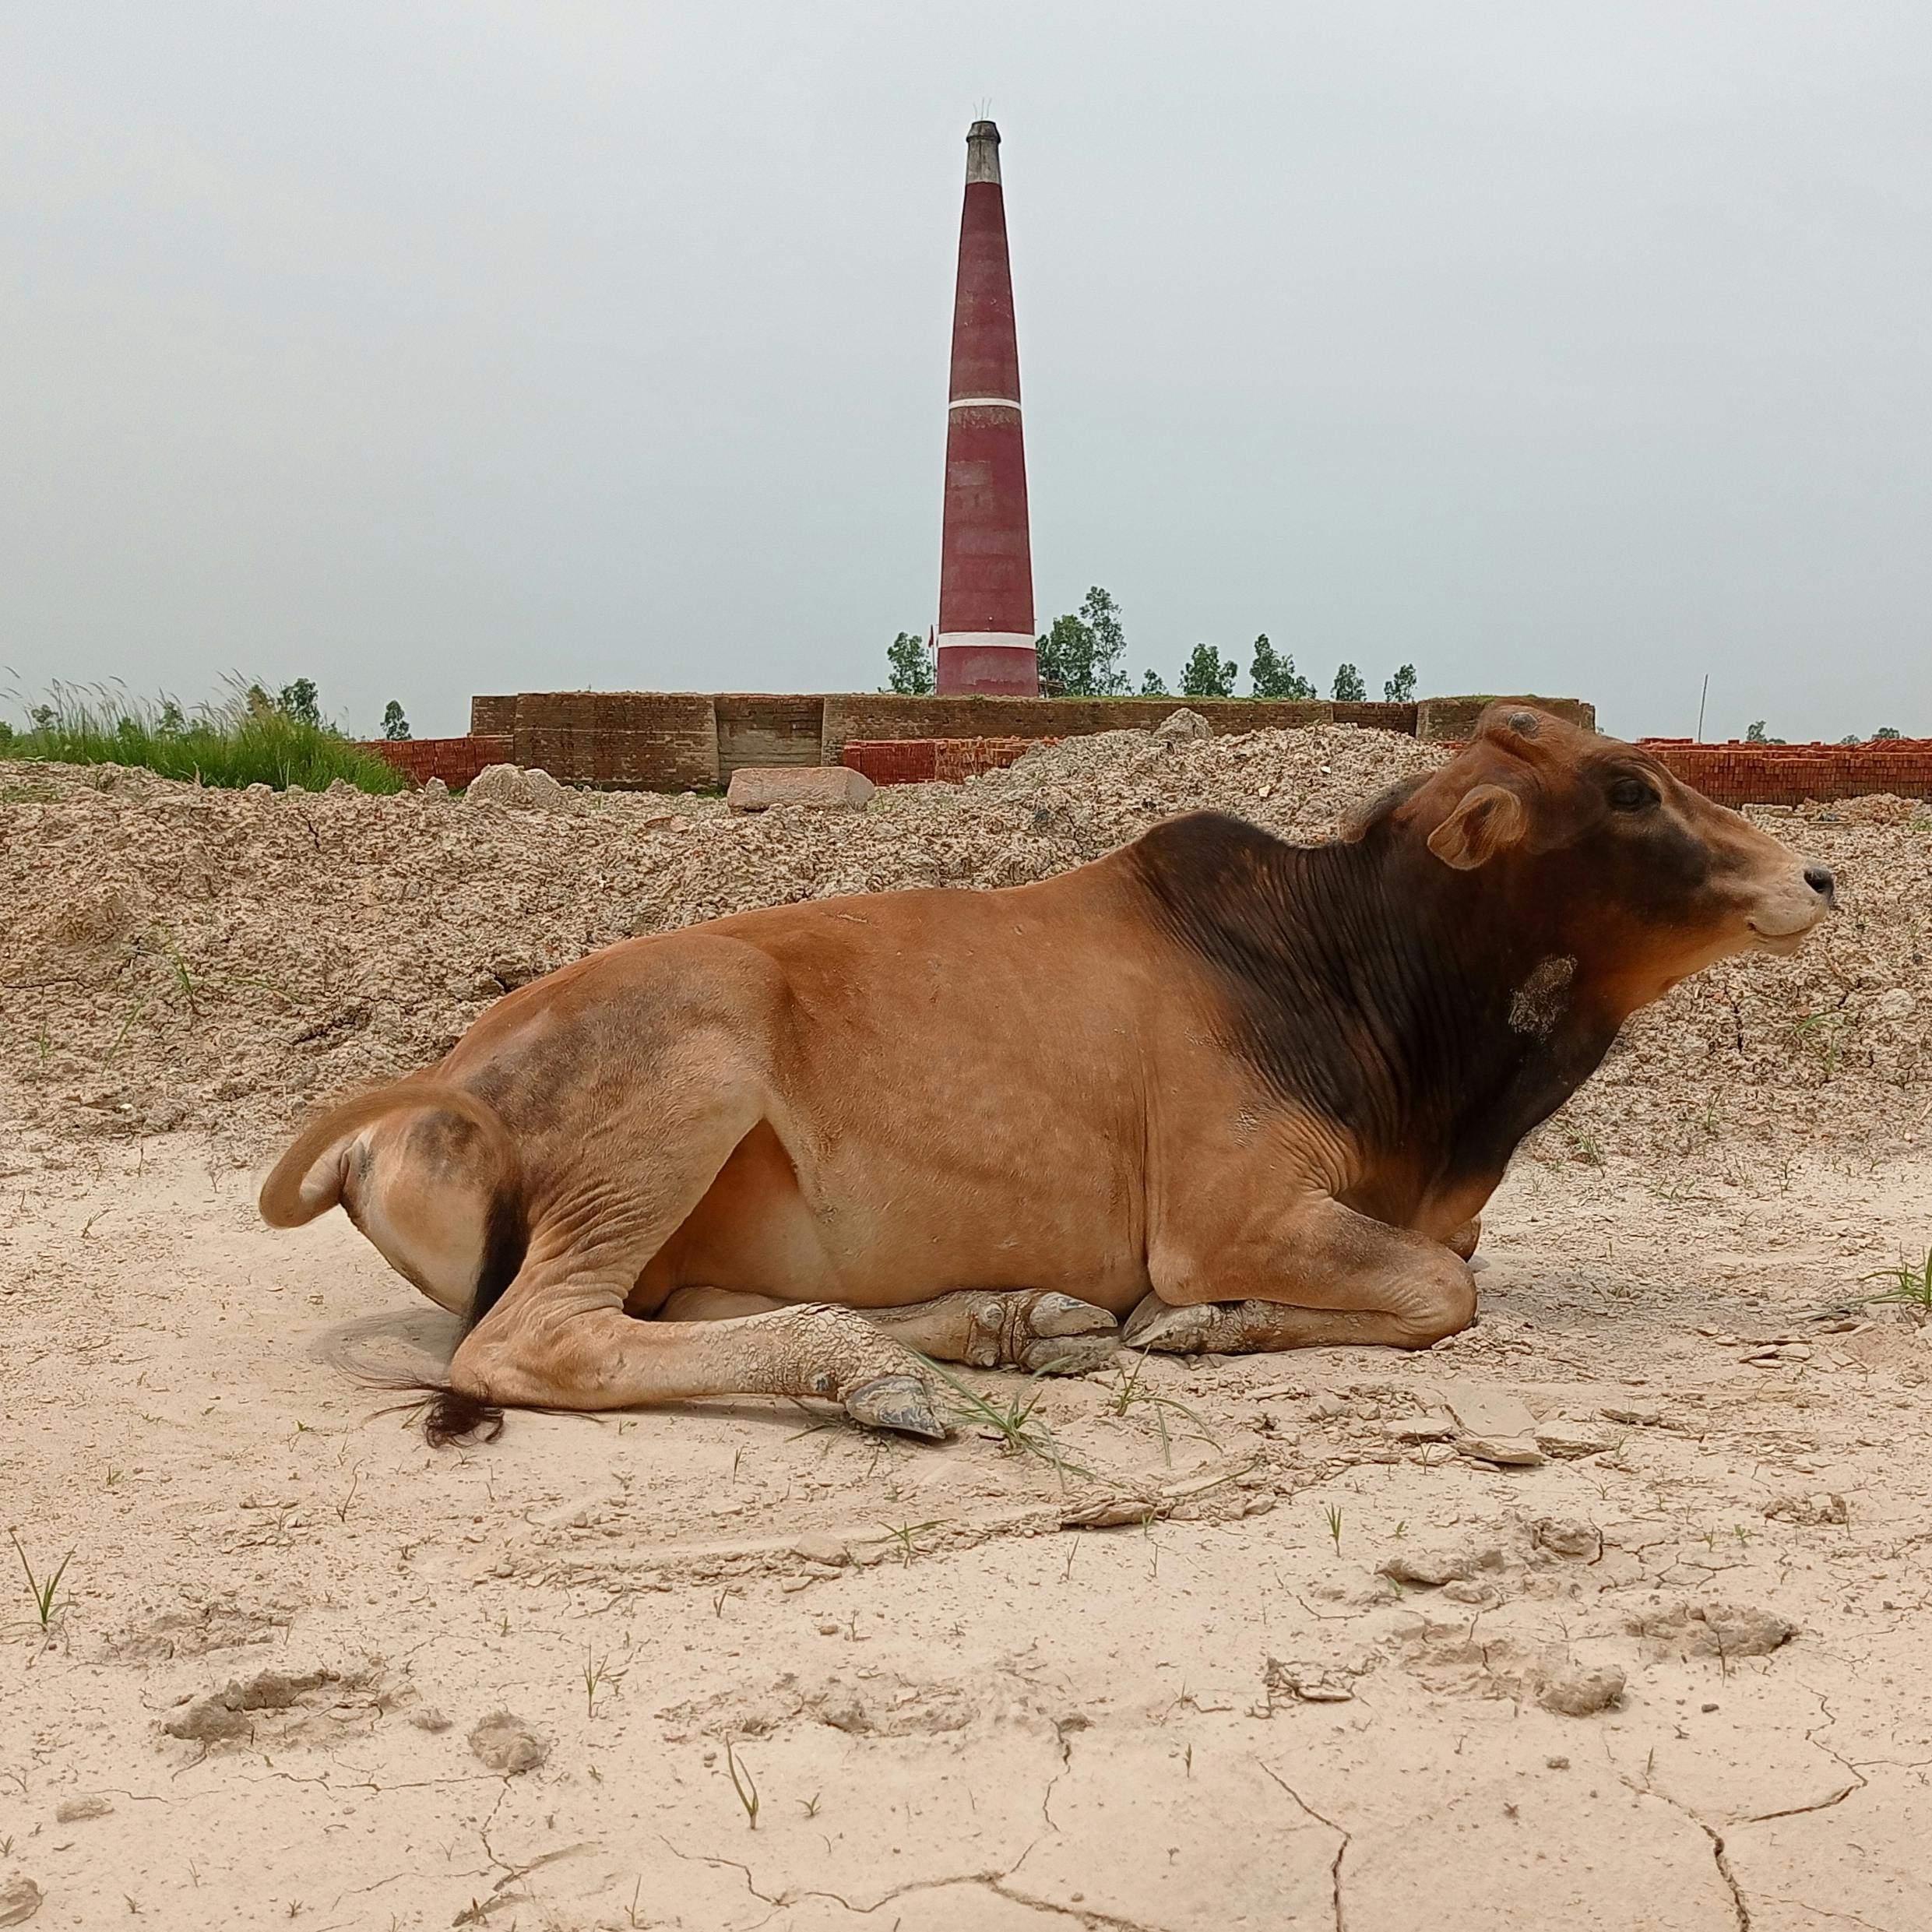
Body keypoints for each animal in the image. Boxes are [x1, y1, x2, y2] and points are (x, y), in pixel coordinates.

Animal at [260, 704, 1834, 1444]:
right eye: (1629, 787)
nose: (1816, 872)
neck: (1347, 967)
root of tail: (394, 1119)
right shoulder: (1225, 1211)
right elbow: (1441, 1291)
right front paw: (1203, 1328)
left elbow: (1451, 1273)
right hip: (684, 1077)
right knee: (535, 1340)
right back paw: (877, 1373)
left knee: (697, 1307)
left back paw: (995, 1323)